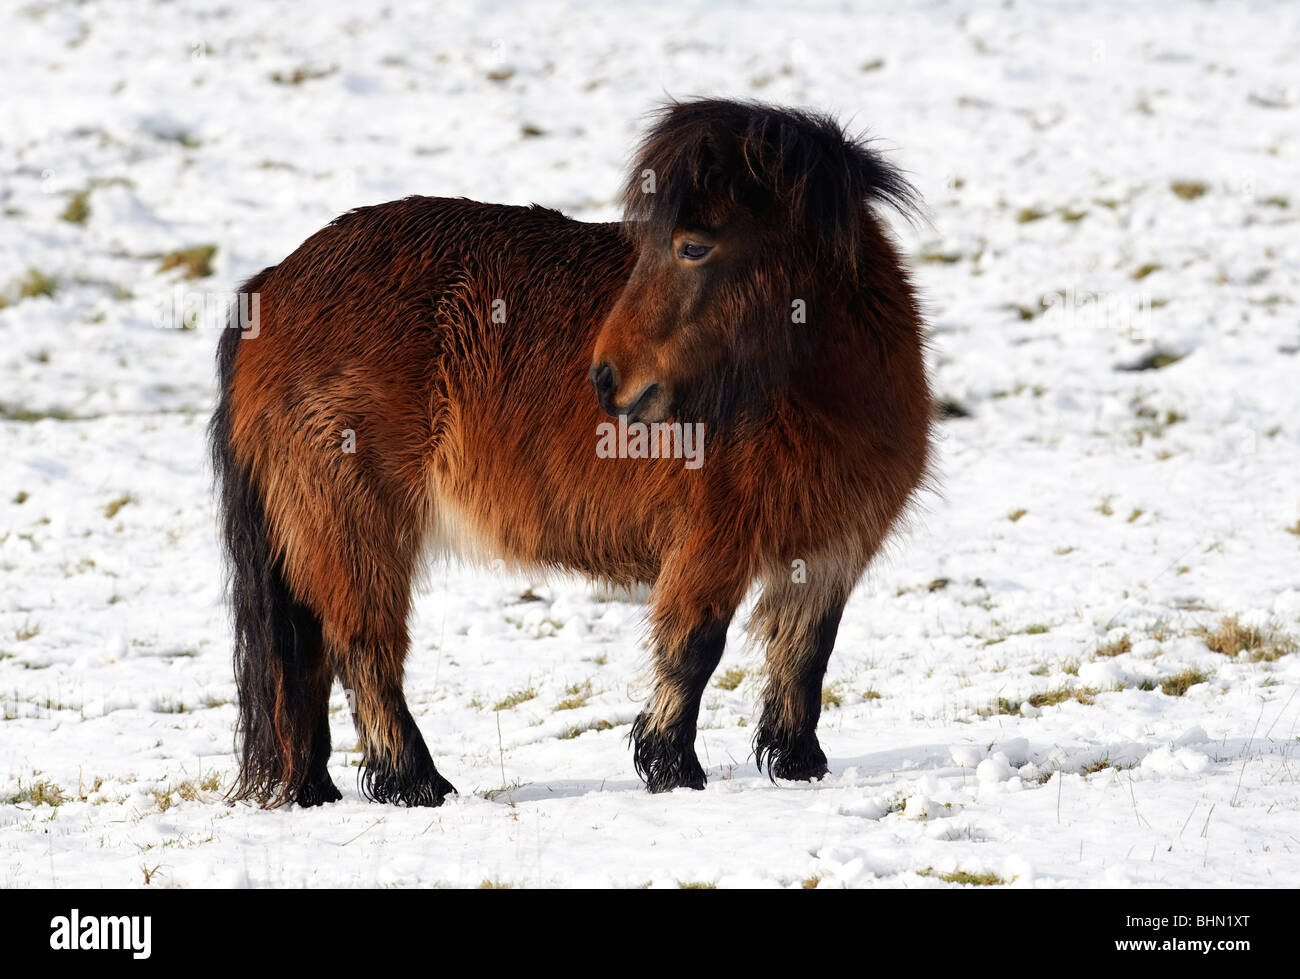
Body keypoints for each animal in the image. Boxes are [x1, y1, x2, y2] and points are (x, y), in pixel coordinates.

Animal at [209, 97, 932, 808]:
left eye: (694, 246)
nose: (606, 379)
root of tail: (274, 282)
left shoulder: (831, 548)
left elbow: (806, 653)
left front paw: (799, 764)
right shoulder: (712, 542)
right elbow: (695, 647)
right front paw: (673, 767)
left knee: (312, 653)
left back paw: (317, 788)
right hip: (354, 523)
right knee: (364, 649)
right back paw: (417, 782)